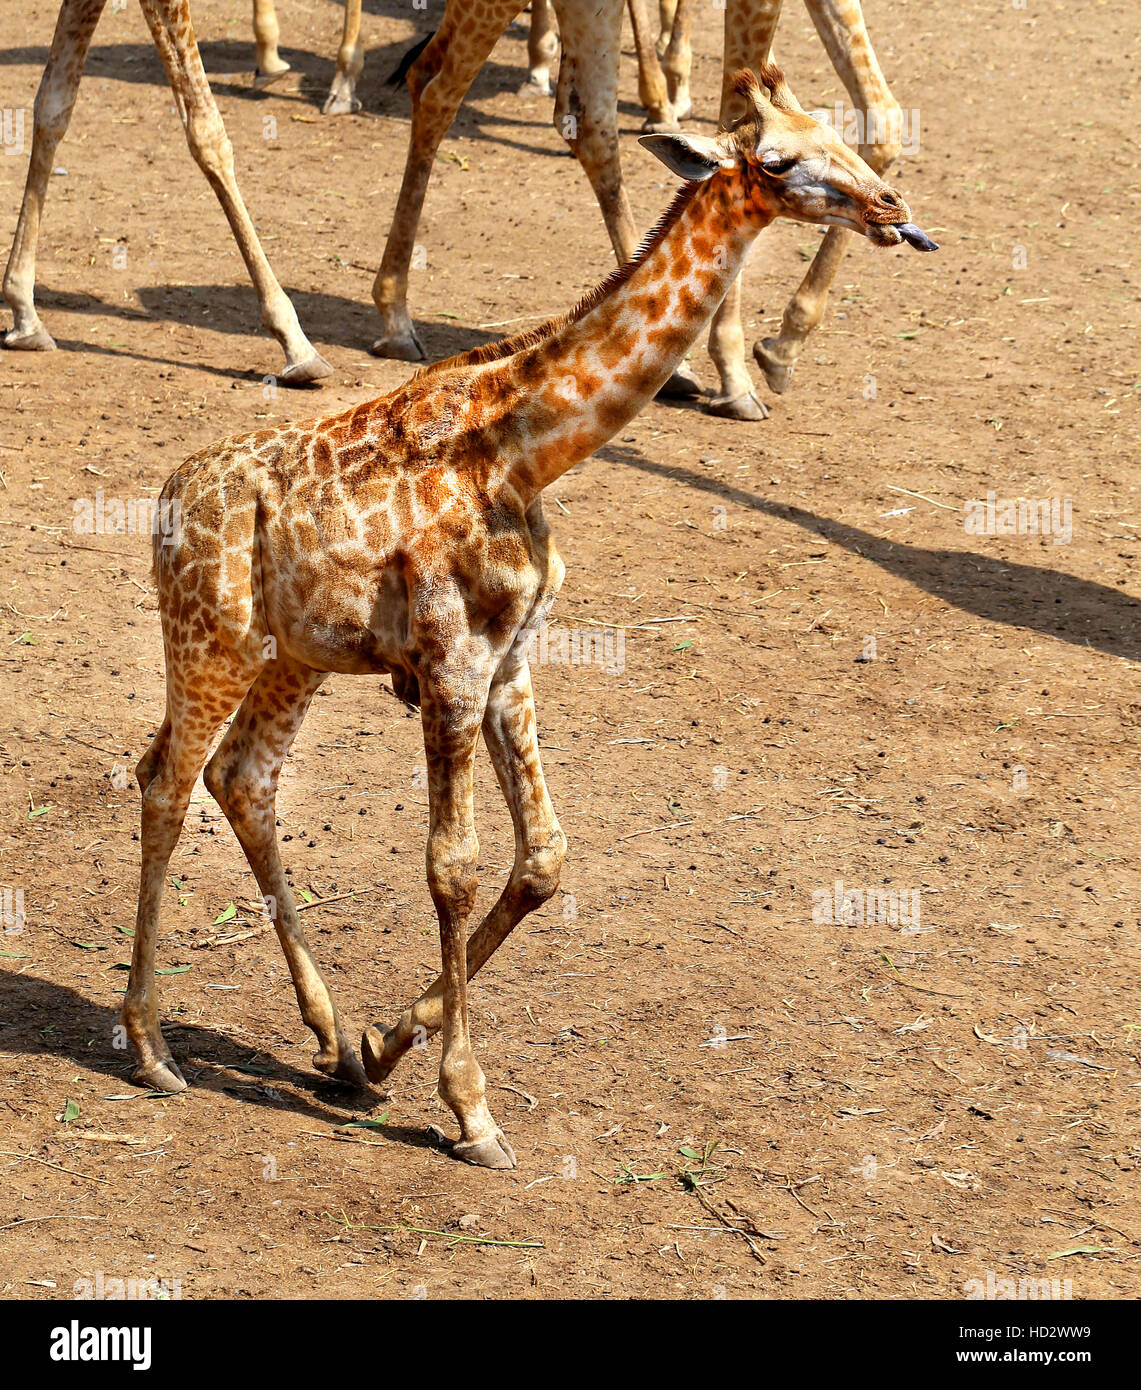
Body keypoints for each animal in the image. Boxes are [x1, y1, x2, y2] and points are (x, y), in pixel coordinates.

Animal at [125, 64, 935, 1164]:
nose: (891, 209)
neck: (527, 449)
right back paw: (151, 1047)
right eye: (778, 160)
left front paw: (387, 1043)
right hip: (210, 639)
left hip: (294, 655)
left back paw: (330, 1041)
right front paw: (469, 1107)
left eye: (837, 135)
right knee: (167, 784)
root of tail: (167, 499)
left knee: (239, 778)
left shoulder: (509, 664)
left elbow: (545, 859)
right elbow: (453, 869)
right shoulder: (451, 663)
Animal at [369, 0, 904, 421]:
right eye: (776, 163)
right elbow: (730, 123)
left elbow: (884, 117)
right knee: (436, 89)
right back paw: (396, 319)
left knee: (588, 121)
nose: (893, 210)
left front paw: (783, 346)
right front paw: (734, 374)